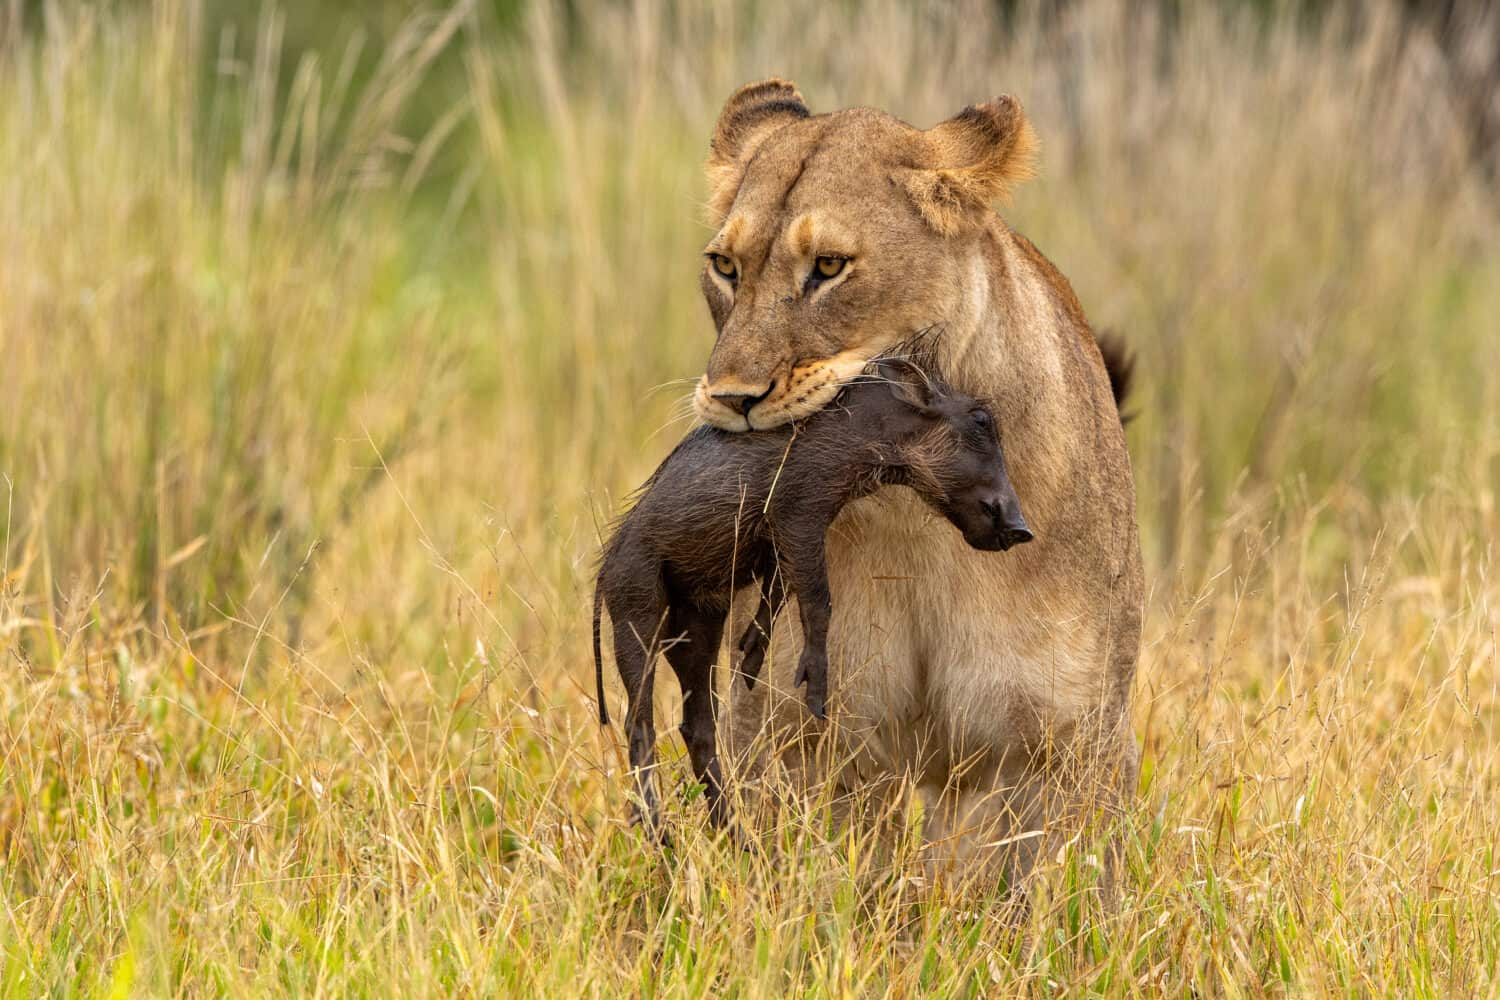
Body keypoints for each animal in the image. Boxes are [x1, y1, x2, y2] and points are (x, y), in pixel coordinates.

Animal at [691, 79, 1142, 889]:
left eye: (828, 266)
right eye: (725, 266)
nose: (731, 398)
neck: (912, 509)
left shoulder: (1071, 741)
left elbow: (1063, 899)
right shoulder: (790, 734)